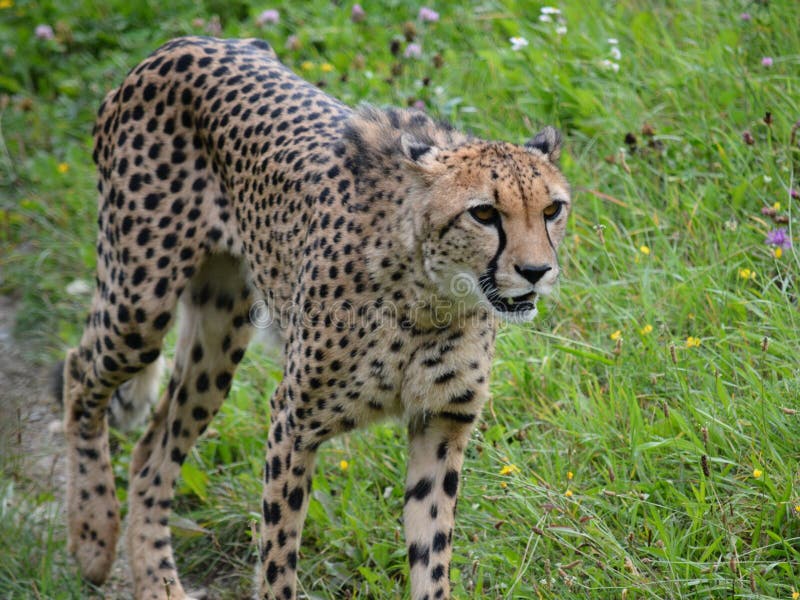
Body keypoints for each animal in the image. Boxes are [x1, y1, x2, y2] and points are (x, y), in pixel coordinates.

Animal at [59, 36, 571, 600]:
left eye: (552, 210)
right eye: (483, 213)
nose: (536, 271)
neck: (431, 300)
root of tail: (191, 41)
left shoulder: (441, 424)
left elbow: (431, 556)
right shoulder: (293, 421)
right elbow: (278, 558)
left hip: (219, 331)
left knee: (151, 454)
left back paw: (158, 581)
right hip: (139, 303)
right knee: (79, 372)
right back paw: (92, 535)